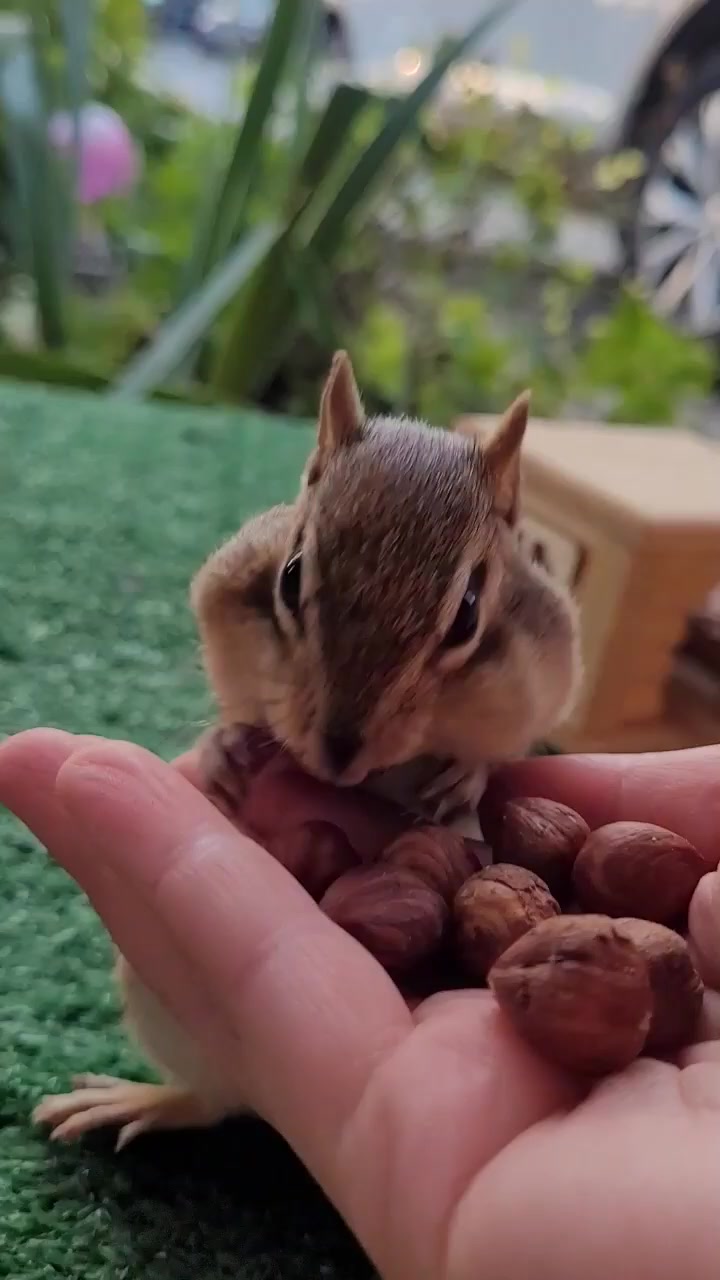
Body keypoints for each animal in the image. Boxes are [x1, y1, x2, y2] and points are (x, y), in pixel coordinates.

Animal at [33, 350, 582, 1148]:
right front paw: (226, 746)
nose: (338, 751)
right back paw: (139, 1099)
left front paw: (466, 776)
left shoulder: (543, 676)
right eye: (290, 574)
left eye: (469, 613)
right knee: (213, 1097)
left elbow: (503, 747)